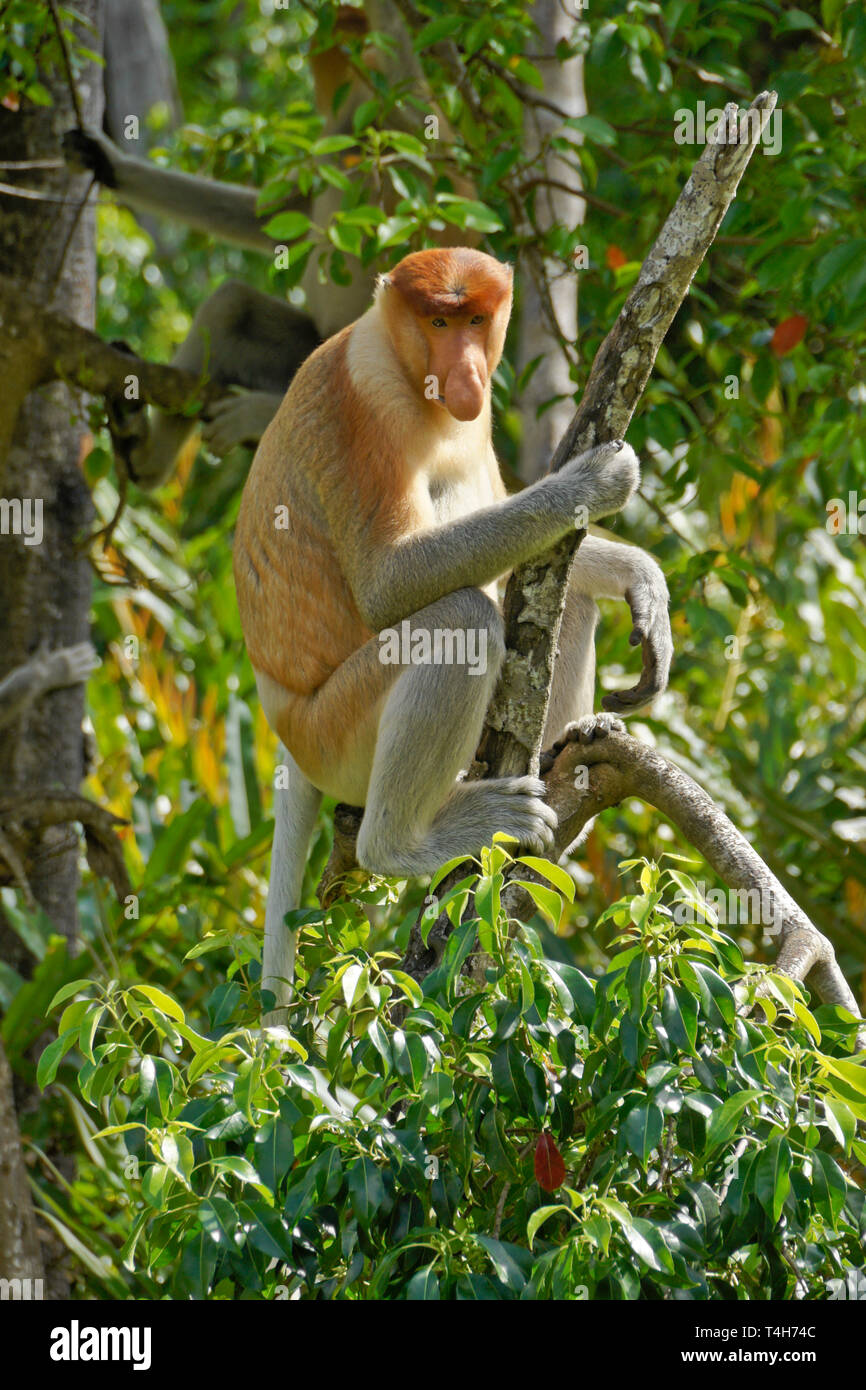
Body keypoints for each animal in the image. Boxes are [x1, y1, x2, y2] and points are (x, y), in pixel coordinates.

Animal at [231, 247, 672, 1019]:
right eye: (437, 322)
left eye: (475, 321)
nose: (464, 374)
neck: (394, 352)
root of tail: (283, 722)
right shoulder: (365, 404)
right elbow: (390, 582)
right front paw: (592, 482)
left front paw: (641, 578)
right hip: (336, 735)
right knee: (460, 617)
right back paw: (410, 840)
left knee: (562, 599)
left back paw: (563, 756)